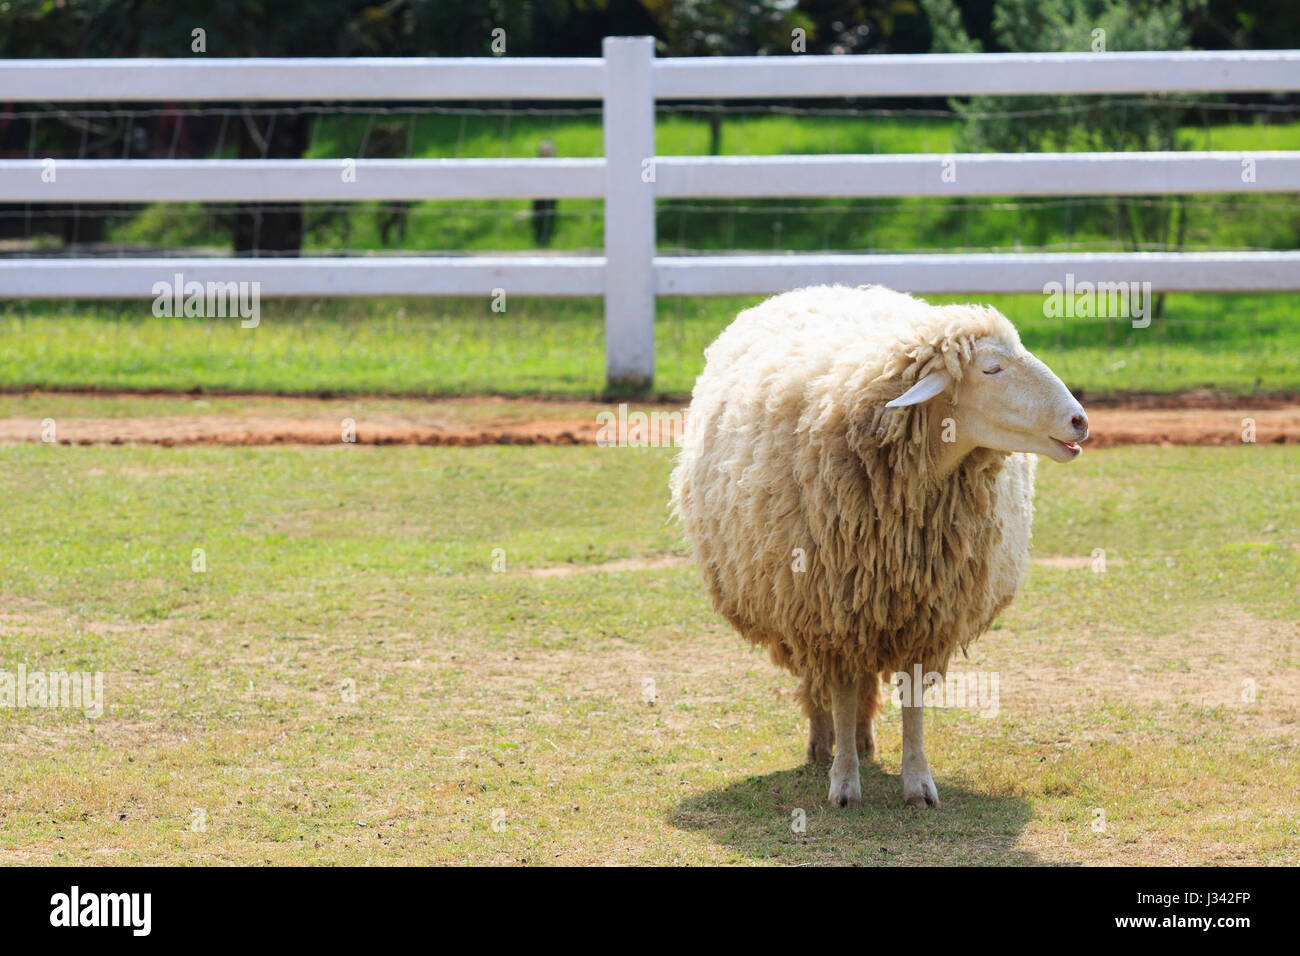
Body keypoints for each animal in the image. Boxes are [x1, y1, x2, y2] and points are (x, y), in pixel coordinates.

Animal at [669, 284, 1088, 808]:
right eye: (992, 369)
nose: (1080, 421)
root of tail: (823, 287)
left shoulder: (924, 611)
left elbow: (912, 701)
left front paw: (918, 782)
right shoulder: (829, 610)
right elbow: (842, 691)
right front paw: (844, 783)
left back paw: (864, 739)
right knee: (824, 684)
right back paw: (823, 742)